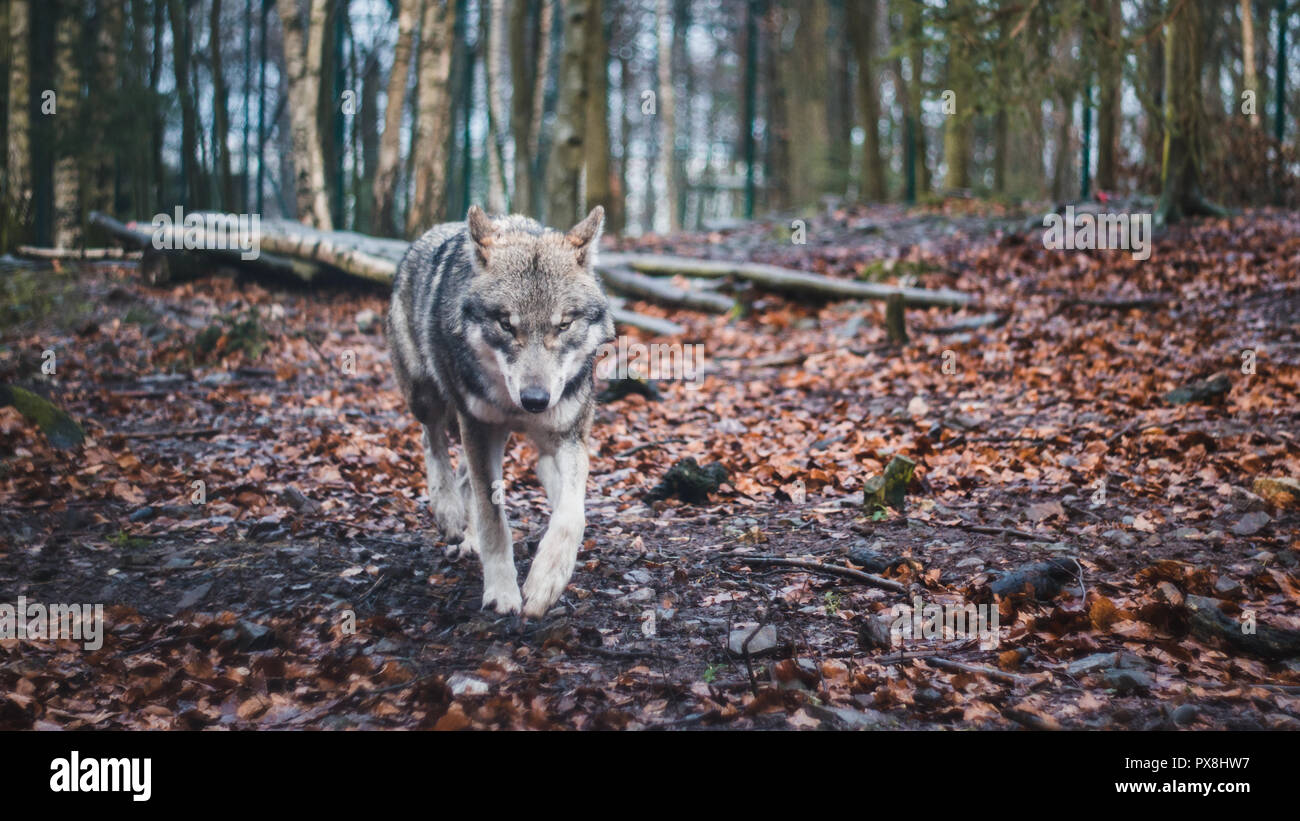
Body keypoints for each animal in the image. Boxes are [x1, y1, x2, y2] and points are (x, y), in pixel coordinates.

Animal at [386, 205, 614, 619]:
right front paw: (502, 593)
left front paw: (546, 580)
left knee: (466, 478)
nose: (536, 400)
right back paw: (448, 513)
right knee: (433, 442)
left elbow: (572, 513)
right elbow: (493, 519)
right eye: (506, 324)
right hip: (428, 397)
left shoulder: (566, 438)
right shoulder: (477, 426)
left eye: (564, 324)